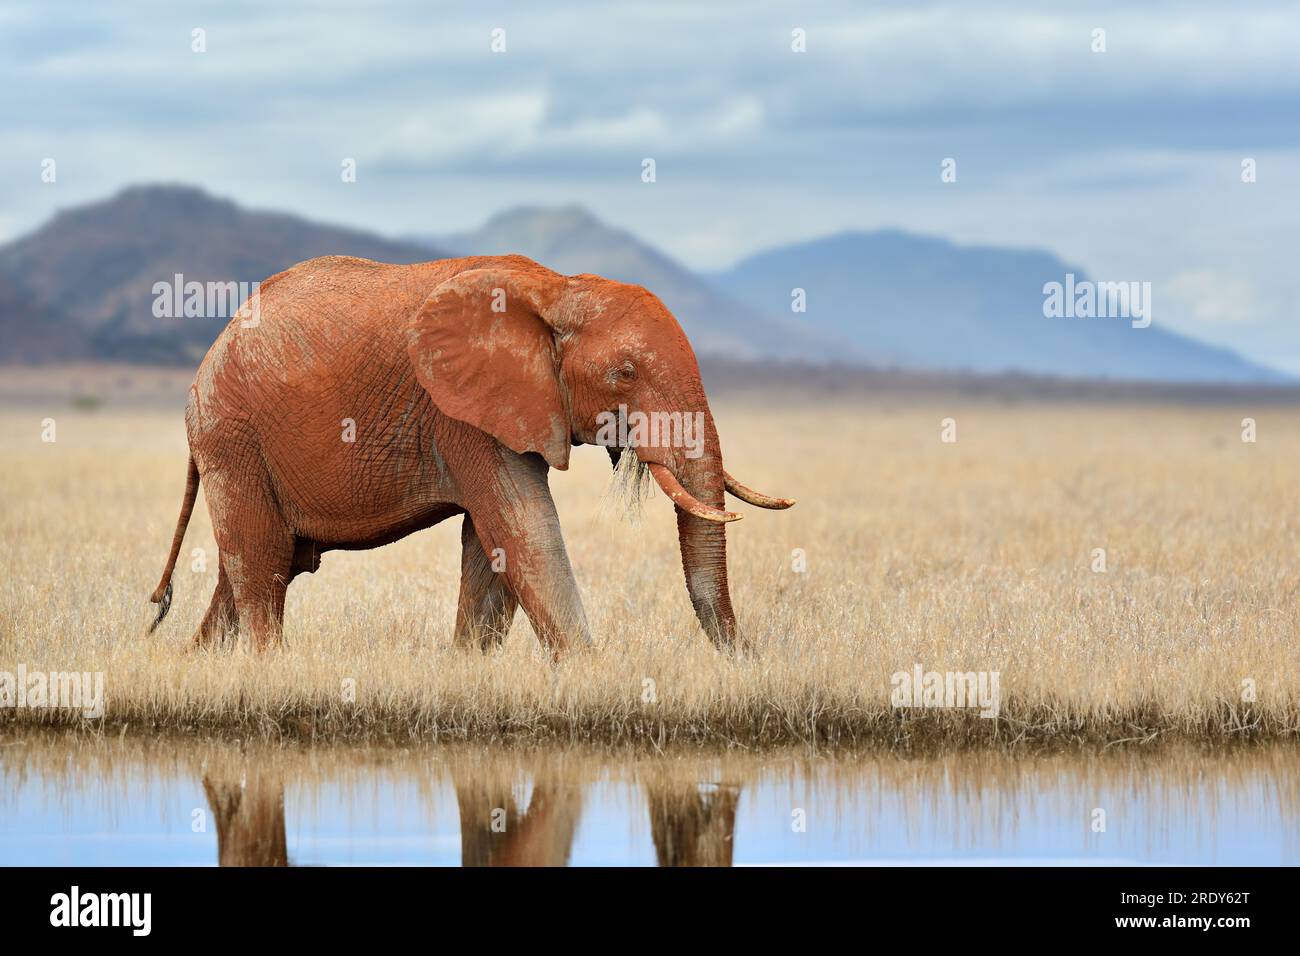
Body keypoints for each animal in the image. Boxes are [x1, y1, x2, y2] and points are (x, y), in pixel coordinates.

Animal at [147, 254, 793, 655]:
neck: (559, 288)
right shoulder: (464, 414)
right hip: (232, 436)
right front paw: (594, 673)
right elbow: (525, 529)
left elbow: (492, 547)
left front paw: (466, 667)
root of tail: (209, 356)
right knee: (261, 564)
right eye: (625, 373)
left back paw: (199, 664)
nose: (751, 658)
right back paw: (267, 665)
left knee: (248, 569)